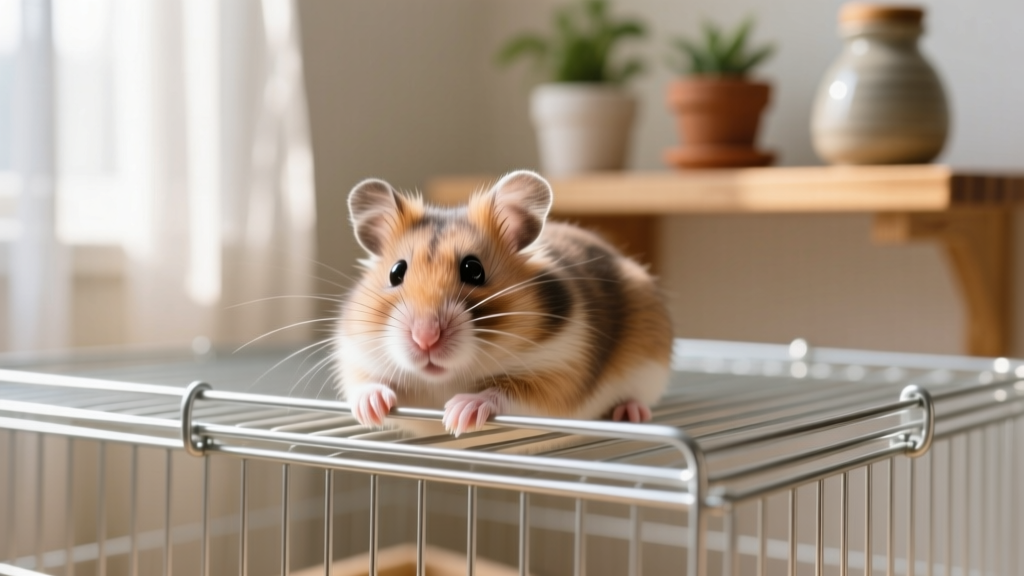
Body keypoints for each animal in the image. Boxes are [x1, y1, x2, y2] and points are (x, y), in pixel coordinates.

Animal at [334, 170, 672, 437]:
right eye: (396, 272)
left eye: (474, 270)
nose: (425, 338)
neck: (448, 378)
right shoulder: (358, 356)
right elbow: (367, 383)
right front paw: (370, 408)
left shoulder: (559, 371)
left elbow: (503, 394)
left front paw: (458, 414)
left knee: (638, 398)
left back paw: (630, 413)